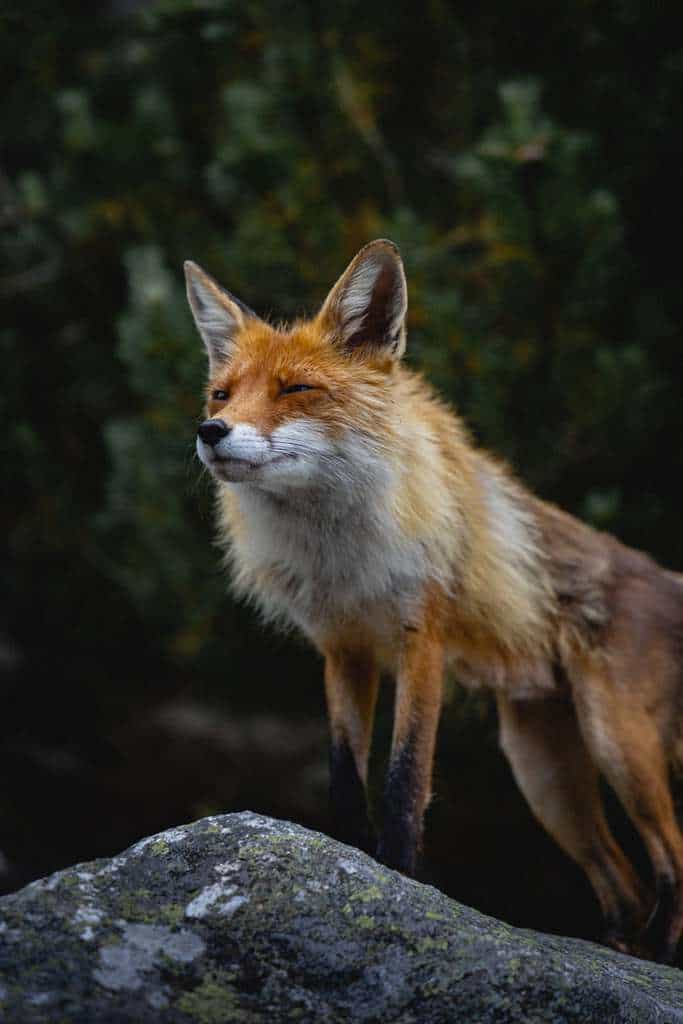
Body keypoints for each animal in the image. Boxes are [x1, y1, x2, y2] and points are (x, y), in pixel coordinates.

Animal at [185, 239, 683, 963]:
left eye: (296, 389)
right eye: (222, 393)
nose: (210, 429)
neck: (337, 551)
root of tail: (667, 577)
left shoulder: (421, 640)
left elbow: (404, 779)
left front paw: (397, 878)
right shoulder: (344, 649)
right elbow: (344, 774)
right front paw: (346, 864)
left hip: (617, 744)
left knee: (672, 862)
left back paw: (658, 952)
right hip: (545, 777)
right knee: (625, 883)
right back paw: (622, 948)